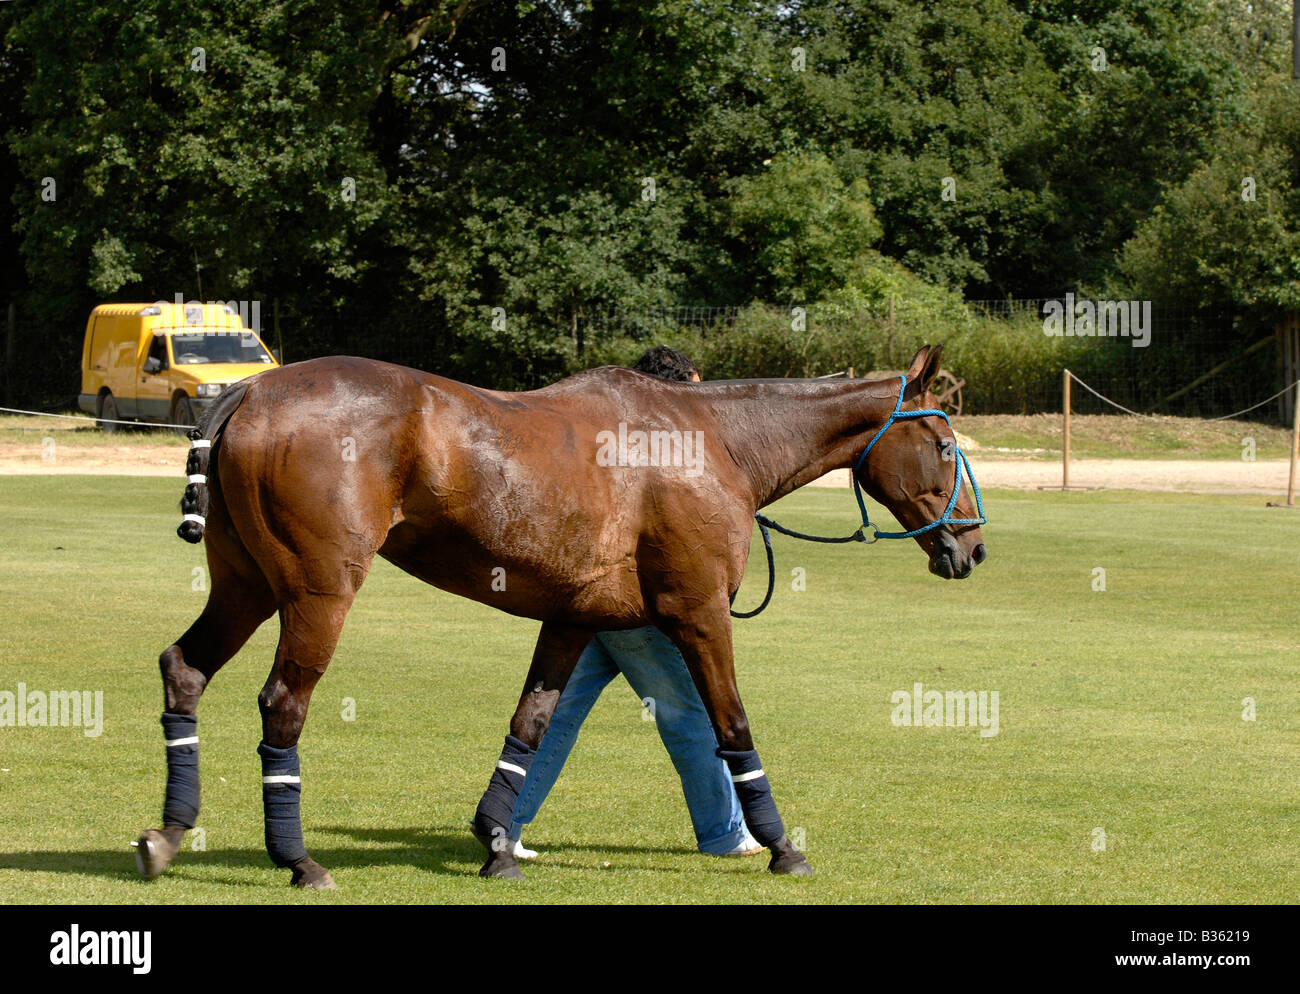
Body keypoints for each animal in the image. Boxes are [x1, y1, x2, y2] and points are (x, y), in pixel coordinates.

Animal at [133, 343, 985, 887]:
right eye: (945, 446)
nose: (973, 548)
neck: (718, 440)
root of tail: (250, 389)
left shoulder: (575, 618)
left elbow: (533, 726)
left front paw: (498, 841)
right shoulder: (700, 611)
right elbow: (731, 724)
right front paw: (779, 843)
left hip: (246, 585)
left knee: (185, 669)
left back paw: (169, 833)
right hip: (318, 593)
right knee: (283, 704)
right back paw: (298, 860)